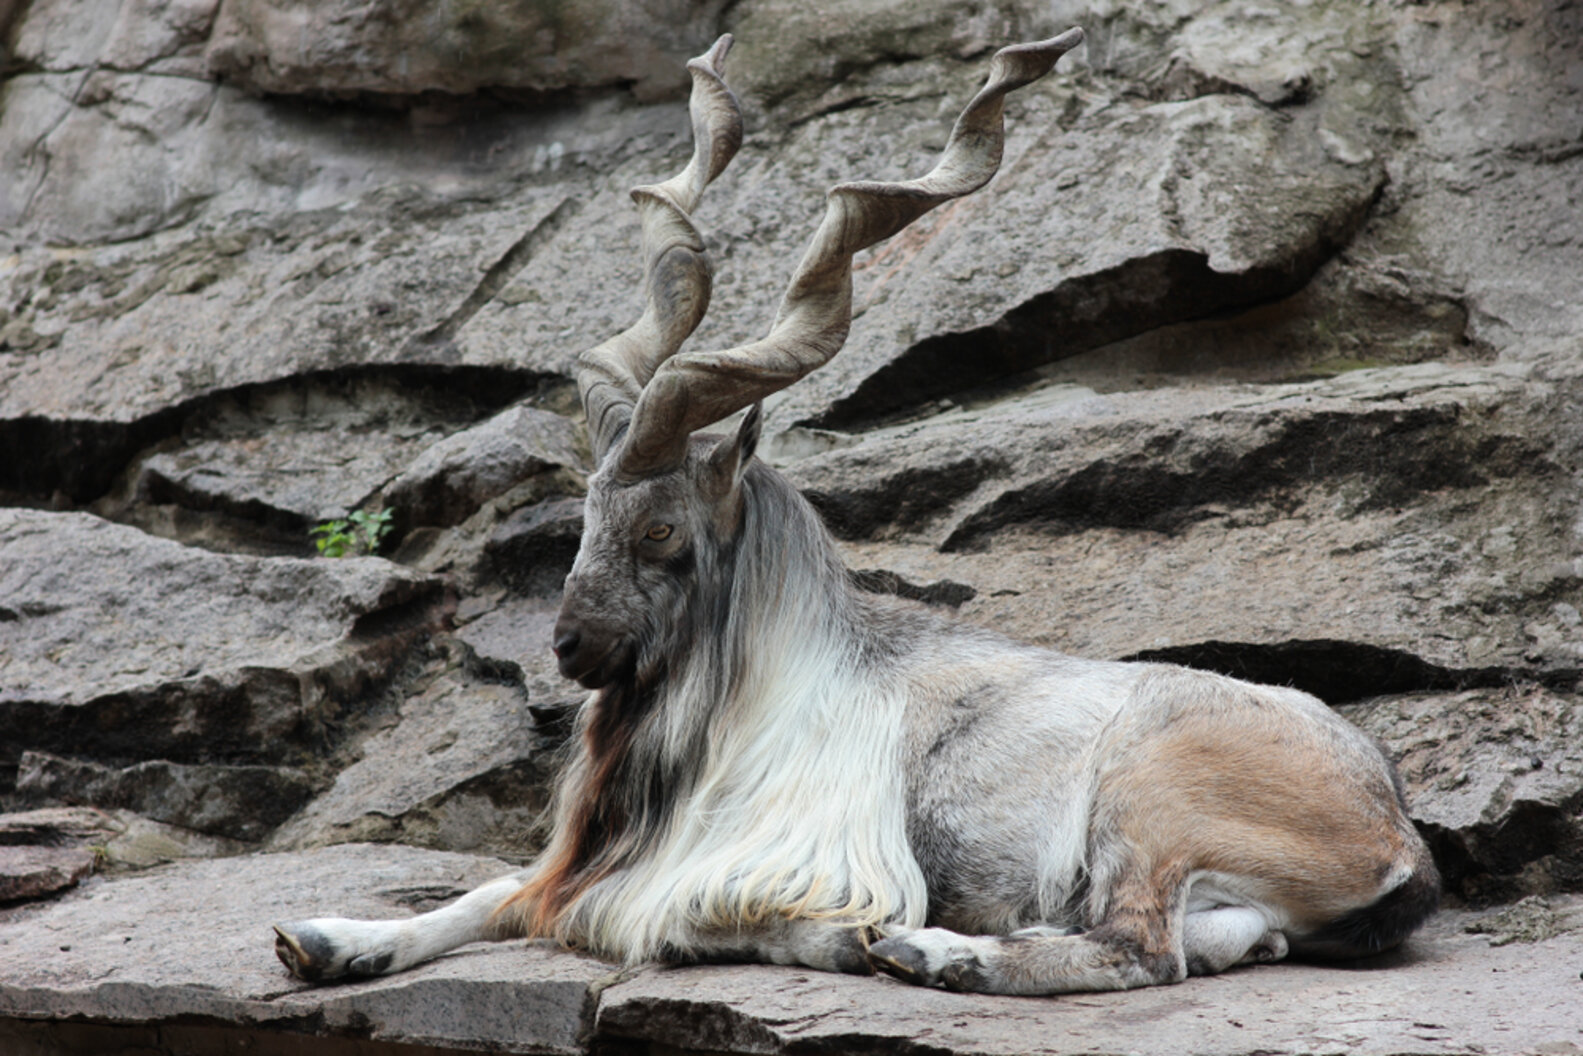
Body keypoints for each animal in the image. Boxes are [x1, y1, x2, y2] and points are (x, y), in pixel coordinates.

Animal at [272, 29, 1439, 995]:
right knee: (1225, 940)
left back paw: (942, 953)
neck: (754, 695)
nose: (570, 645)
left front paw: (859, 938)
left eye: (662, 531)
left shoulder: (776, 863)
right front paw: (326, 938)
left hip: (1149, 793)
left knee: (1139, 949)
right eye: (586, 515)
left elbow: (686, 917)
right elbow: (498, 890)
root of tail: (1390, 824)